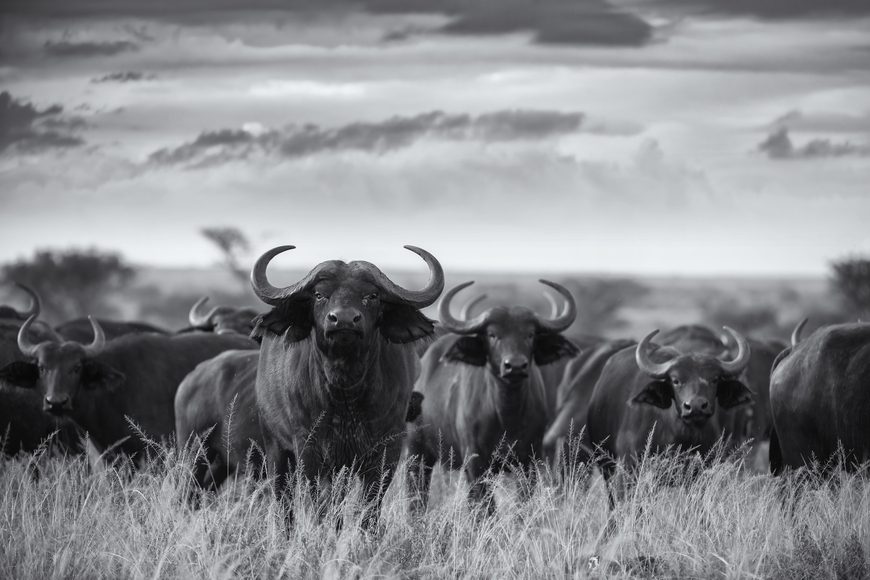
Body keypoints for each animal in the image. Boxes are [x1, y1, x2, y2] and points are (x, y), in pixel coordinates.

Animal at [250, 244, 443, 514]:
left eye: (372, 295)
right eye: (319, 294)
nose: (343, 319)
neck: (346, 392)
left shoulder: (388, 449)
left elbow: (369, 504)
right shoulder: (310, 448)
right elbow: (323, 503)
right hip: (274, 446)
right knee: (283, 499)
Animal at [405, 280, 579, 511]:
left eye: (530, 334)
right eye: (492, 335)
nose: (515, 366)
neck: (507, 415)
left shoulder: (528, 461)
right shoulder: (476, 462)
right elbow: (486, 507)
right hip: (416, 452)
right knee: (417, 494)